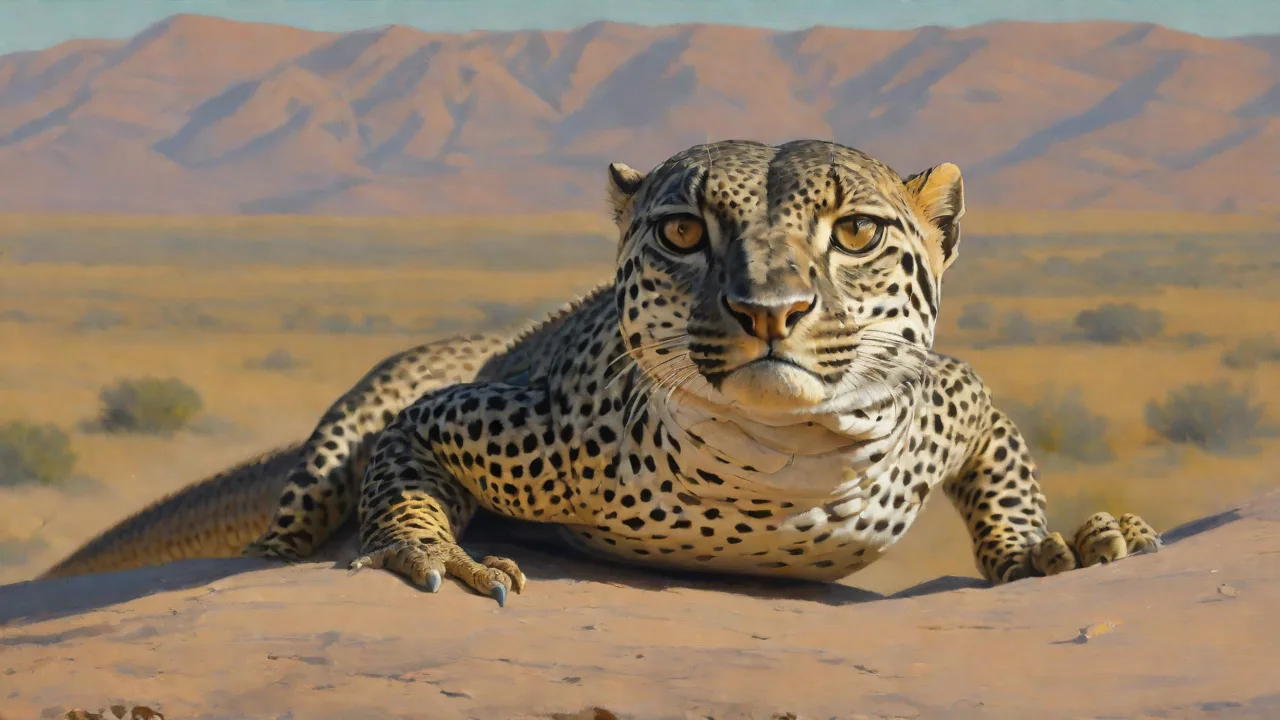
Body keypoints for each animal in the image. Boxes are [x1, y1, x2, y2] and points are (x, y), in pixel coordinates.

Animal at [41, 139, 1161, 605]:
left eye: (855, 232)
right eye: (681, 231)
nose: (770, 312)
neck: (778, 461)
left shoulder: (952, 394)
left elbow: (1005, 475)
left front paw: (1057, 545)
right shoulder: (458, 415)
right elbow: (403, 474)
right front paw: (433, 550)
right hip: (369, 403)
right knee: (298, 509)